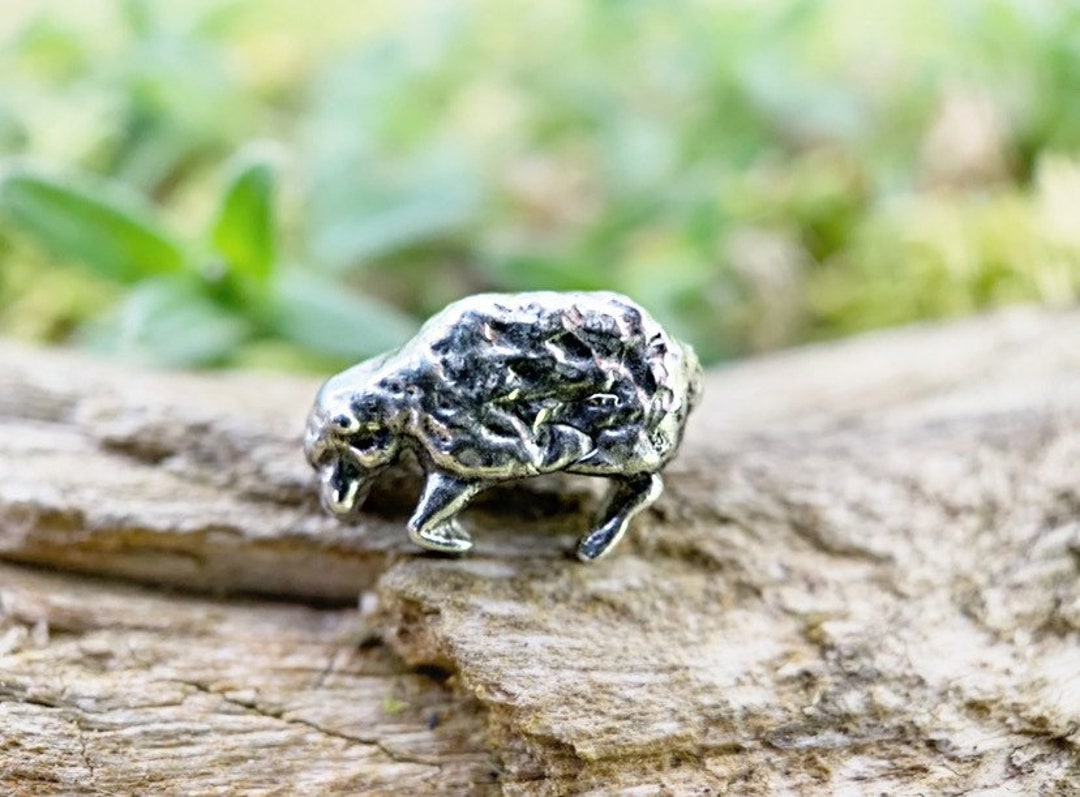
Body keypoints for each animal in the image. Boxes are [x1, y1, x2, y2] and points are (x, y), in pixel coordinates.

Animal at [304, 291, 702, 561]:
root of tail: (687, 361)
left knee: (645, 484)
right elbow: (428, 514)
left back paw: (594, 542)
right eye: (318, 462)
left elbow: (423, 519)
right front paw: (452, 536)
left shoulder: (471, 448)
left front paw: (454, 540)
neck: (402, 399)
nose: (334, 505)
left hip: (627, 441)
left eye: (334, 457)